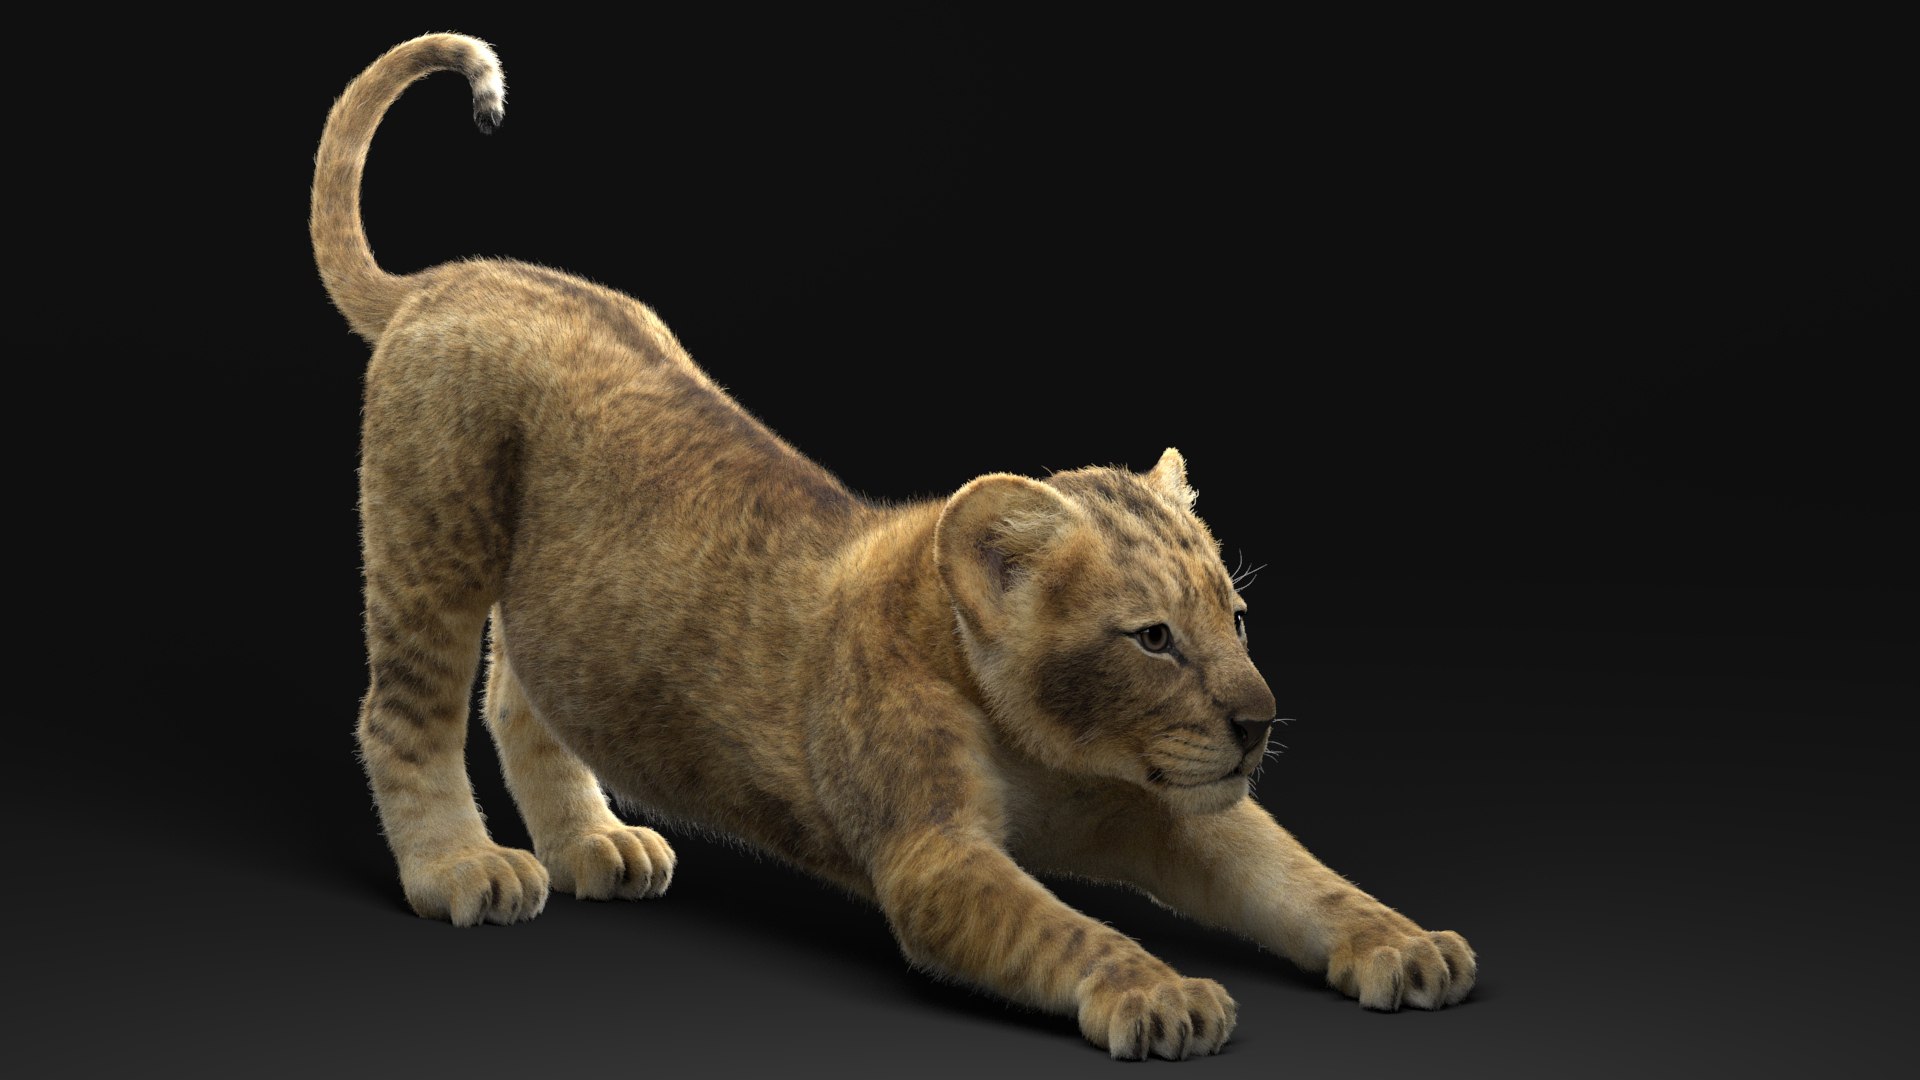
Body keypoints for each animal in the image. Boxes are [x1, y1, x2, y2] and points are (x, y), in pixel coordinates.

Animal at [312, 33, 1475, 1060]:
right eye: (1152, 638)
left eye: (1234, 620)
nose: (1257, 724)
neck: (1051, 747)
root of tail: (456, 277)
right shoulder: (933, 854)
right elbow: (1073, 931)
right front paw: (1166, 997)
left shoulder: (1175, 809)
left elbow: (1300, 878)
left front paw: (1410, 945)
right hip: (435, 529)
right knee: (403, 710)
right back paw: (466, 870)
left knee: (523, 693)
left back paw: (594, 845)